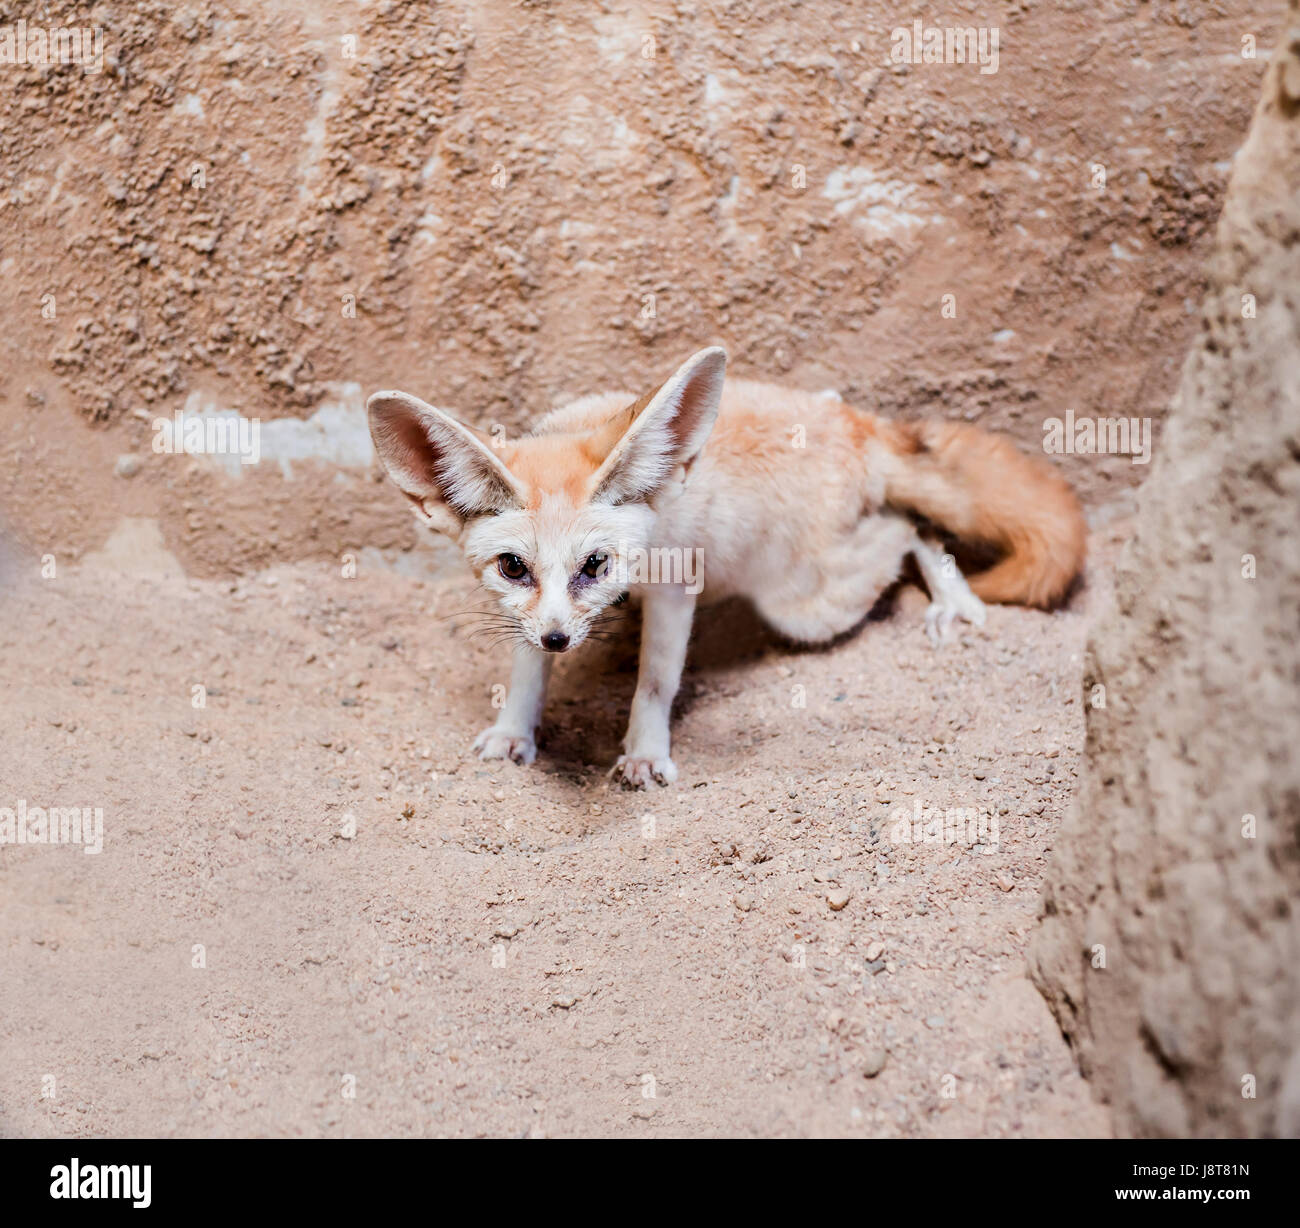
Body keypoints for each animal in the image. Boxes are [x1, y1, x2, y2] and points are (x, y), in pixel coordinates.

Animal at [367, 347, 1086, 788]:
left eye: (595, 563)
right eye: (513, 567)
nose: (560, 640)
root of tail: (858, 426)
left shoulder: (675, 585)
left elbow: (655, 683)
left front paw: (645, 752)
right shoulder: (526, 616)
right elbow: (524, 670)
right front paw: (514, 730)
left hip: (806, 603)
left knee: (908, 524)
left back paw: (950, 595)